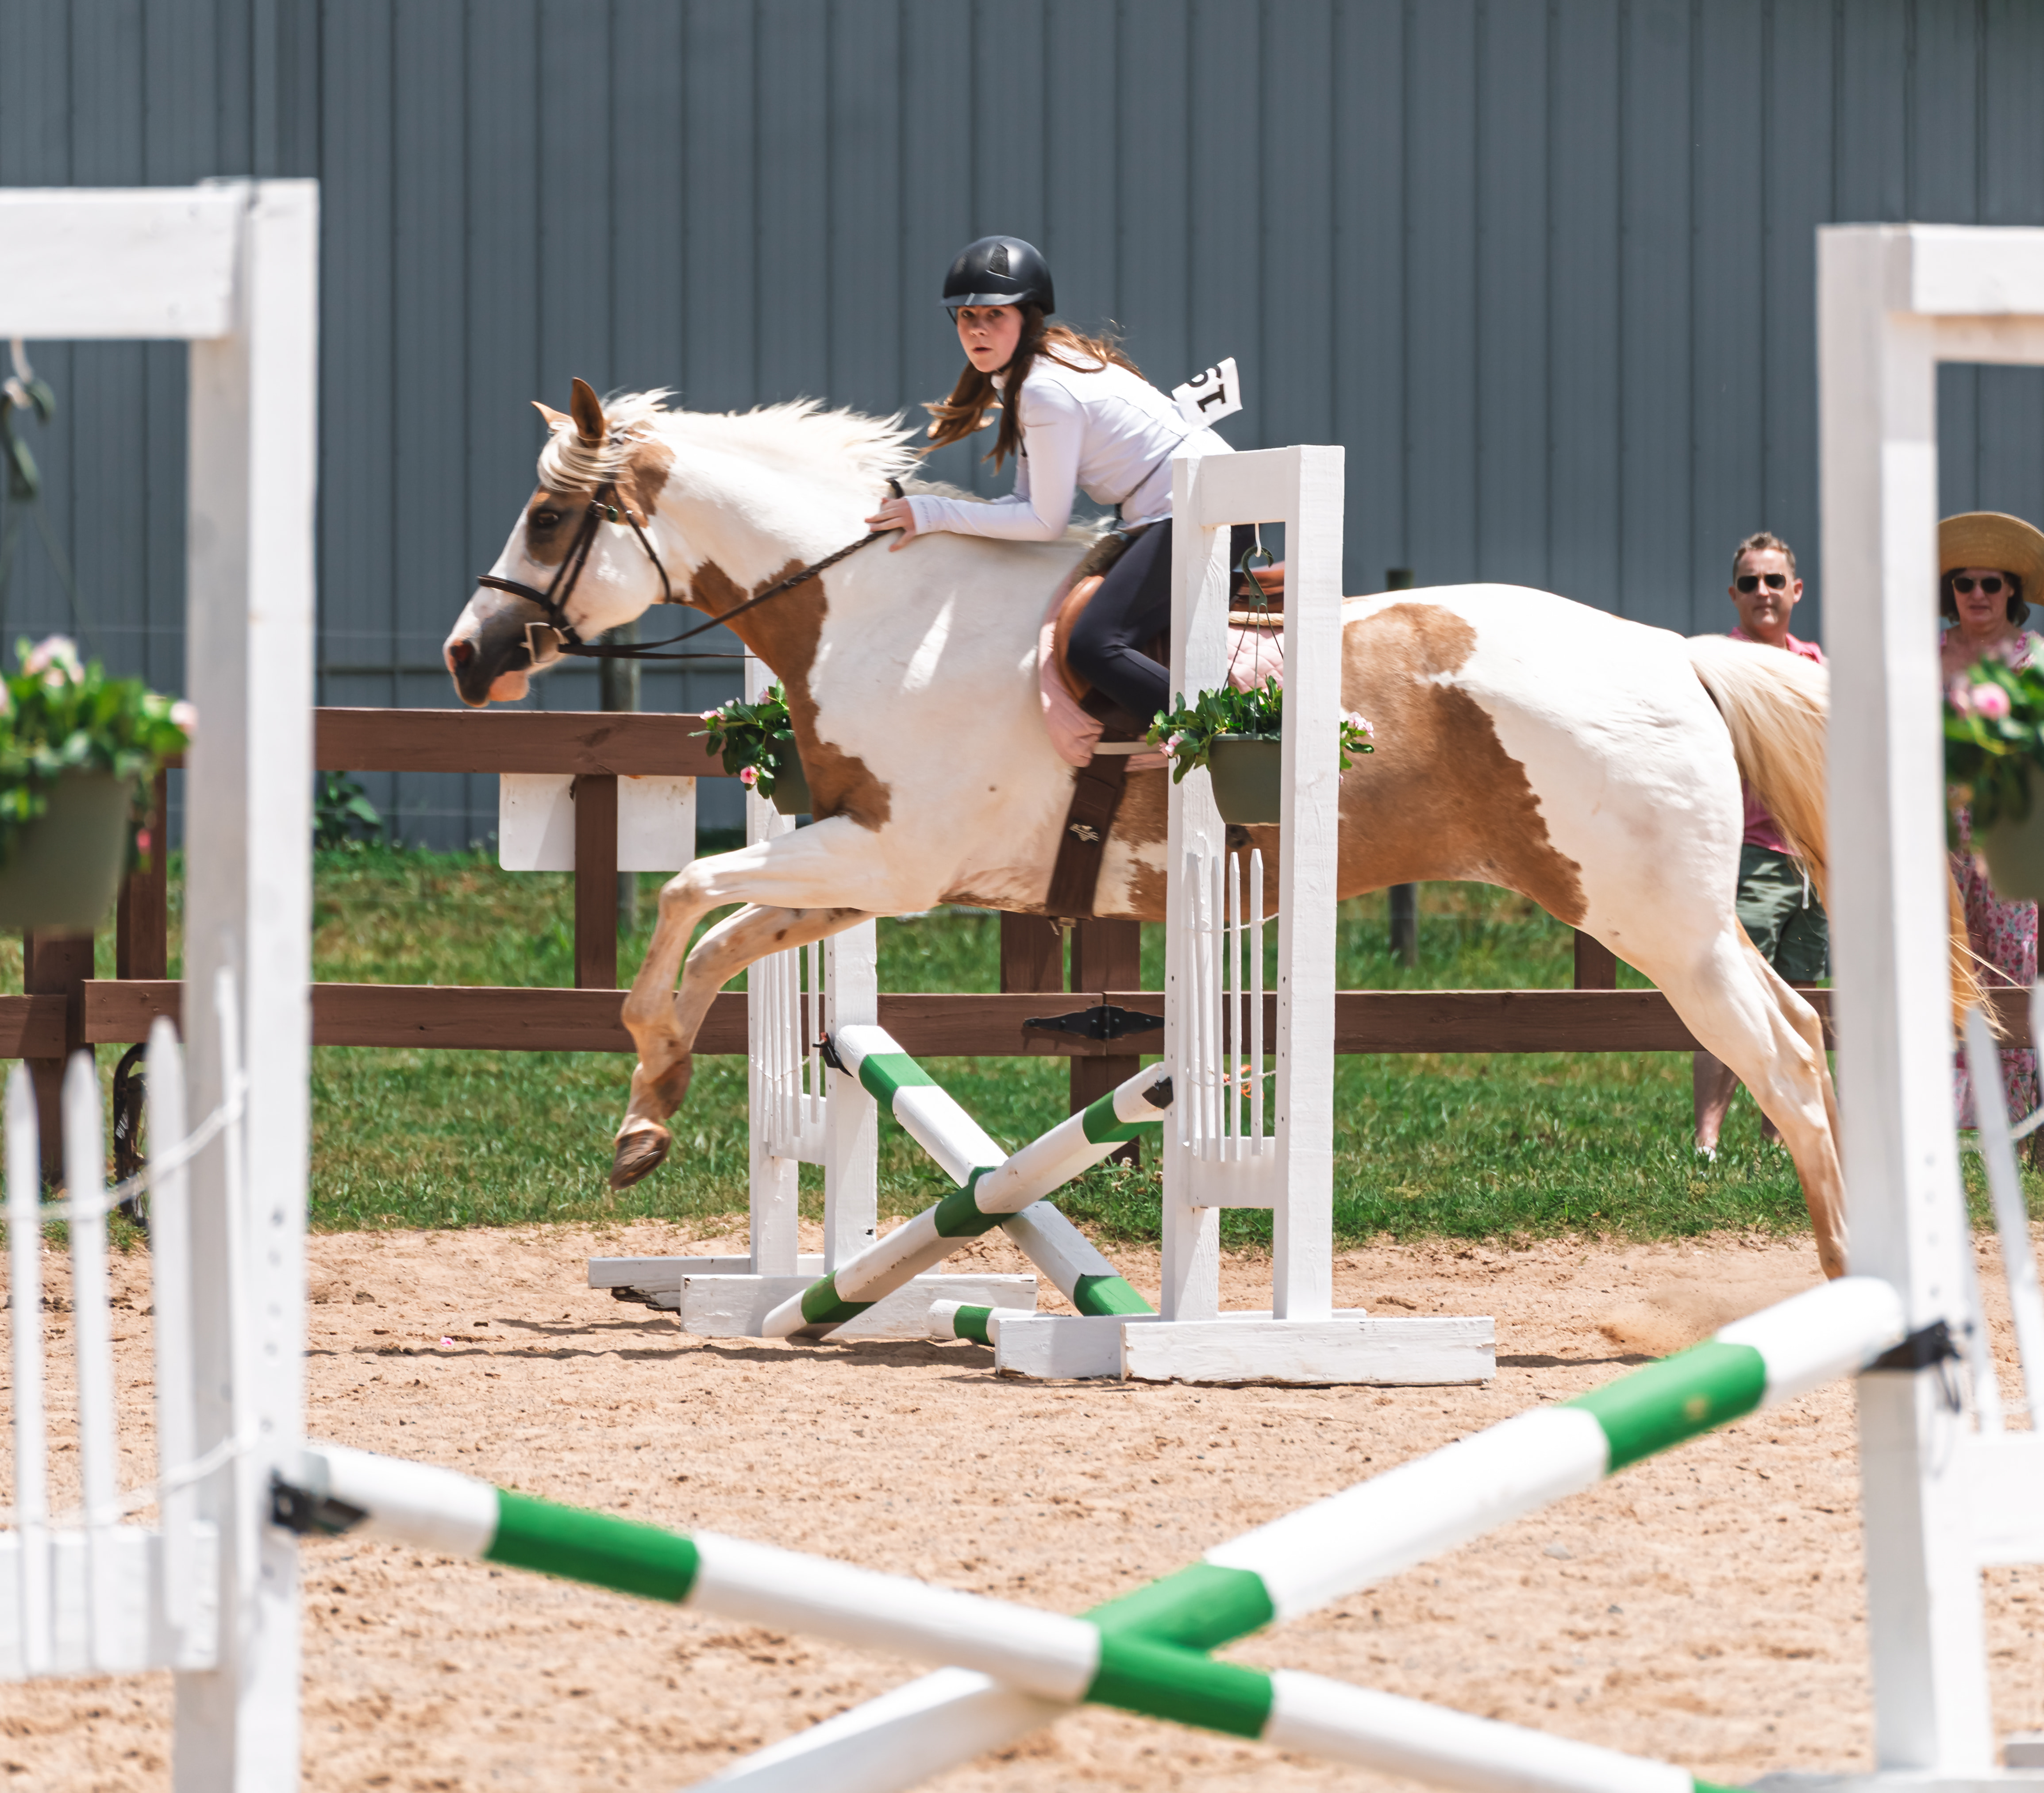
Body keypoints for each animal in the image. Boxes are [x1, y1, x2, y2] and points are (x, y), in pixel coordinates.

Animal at [442, 379, 1957, 1282]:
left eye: (550, 515)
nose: (467, 658)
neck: (884, 607)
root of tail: (1679, 656)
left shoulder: (884, 857)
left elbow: (684, 894)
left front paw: (644, 1097)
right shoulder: (868, 869)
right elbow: (718, 936)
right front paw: (647, 1116)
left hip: (1654, 917)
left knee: (1782, 1052)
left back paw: (1848, 1278)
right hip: (1671, 915)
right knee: (1799, 1034)